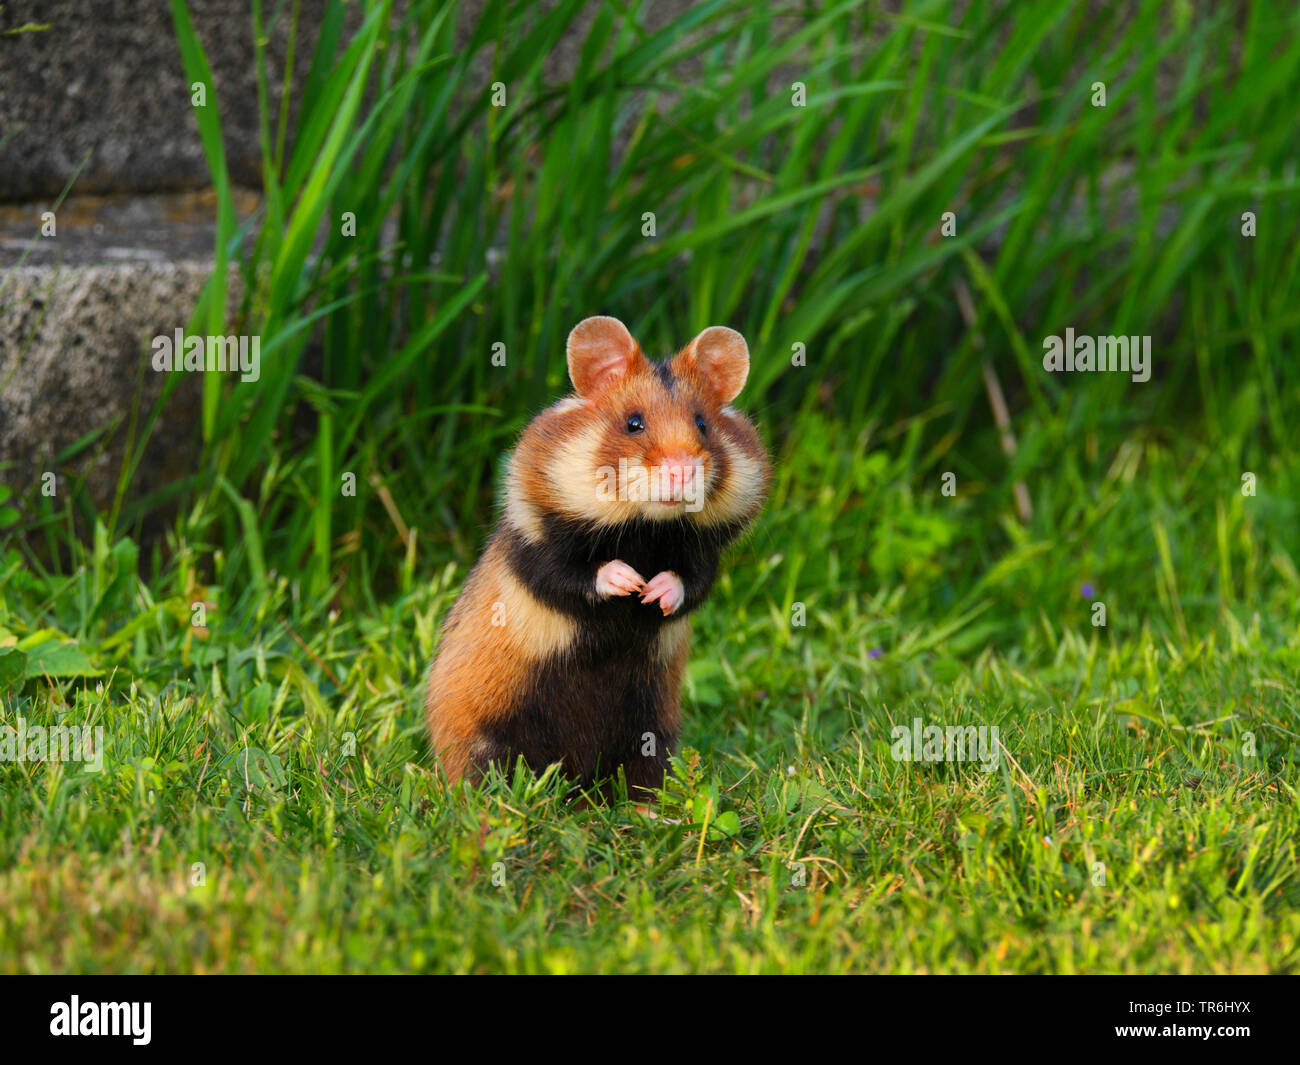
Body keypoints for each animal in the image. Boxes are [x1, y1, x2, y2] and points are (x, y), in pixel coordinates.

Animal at [425, 315, 770, 801]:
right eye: (633, 423)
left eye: (703, 424)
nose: (682, 470)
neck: (647, 529)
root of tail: (579, 785)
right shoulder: (536, 546)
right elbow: (573, 573)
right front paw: (631, 582)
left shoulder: (704, 558)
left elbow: (690, 582)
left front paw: (654, 593)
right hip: (484, 730)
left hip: (653, 729)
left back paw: (647, 808)